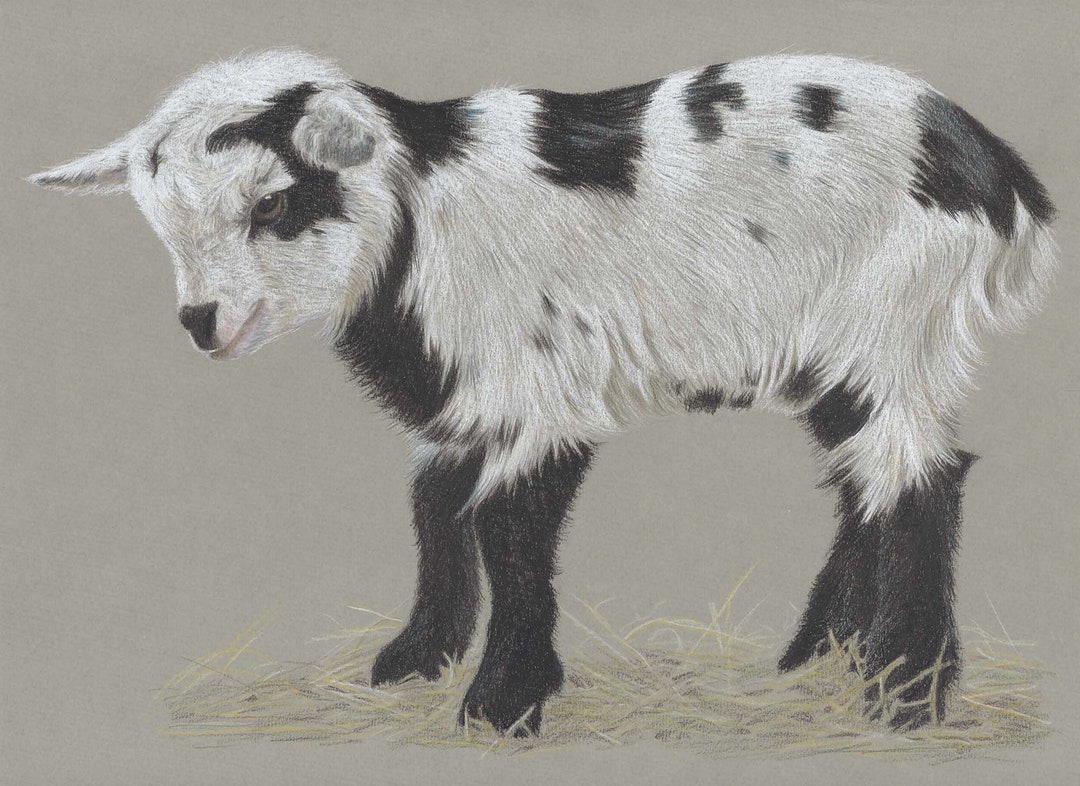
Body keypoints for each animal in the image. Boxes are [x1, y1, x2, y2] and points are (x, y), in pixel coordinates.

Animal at [30, 49, 1056, 734]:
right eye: (160, 220)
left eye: (274, 201)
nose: (201, 322)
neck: (419, 217)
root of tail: (995, 172)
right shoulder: (462, 406)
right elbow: (436, 513)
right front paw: (416, 662)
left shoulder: (538, 390)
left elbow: (510, 530)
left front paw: (501, 703)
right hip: (838, 351)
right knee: (864, 483)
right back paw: (820, 657)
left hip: (891, 324)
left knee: (920, 482)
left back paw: (903, 695)